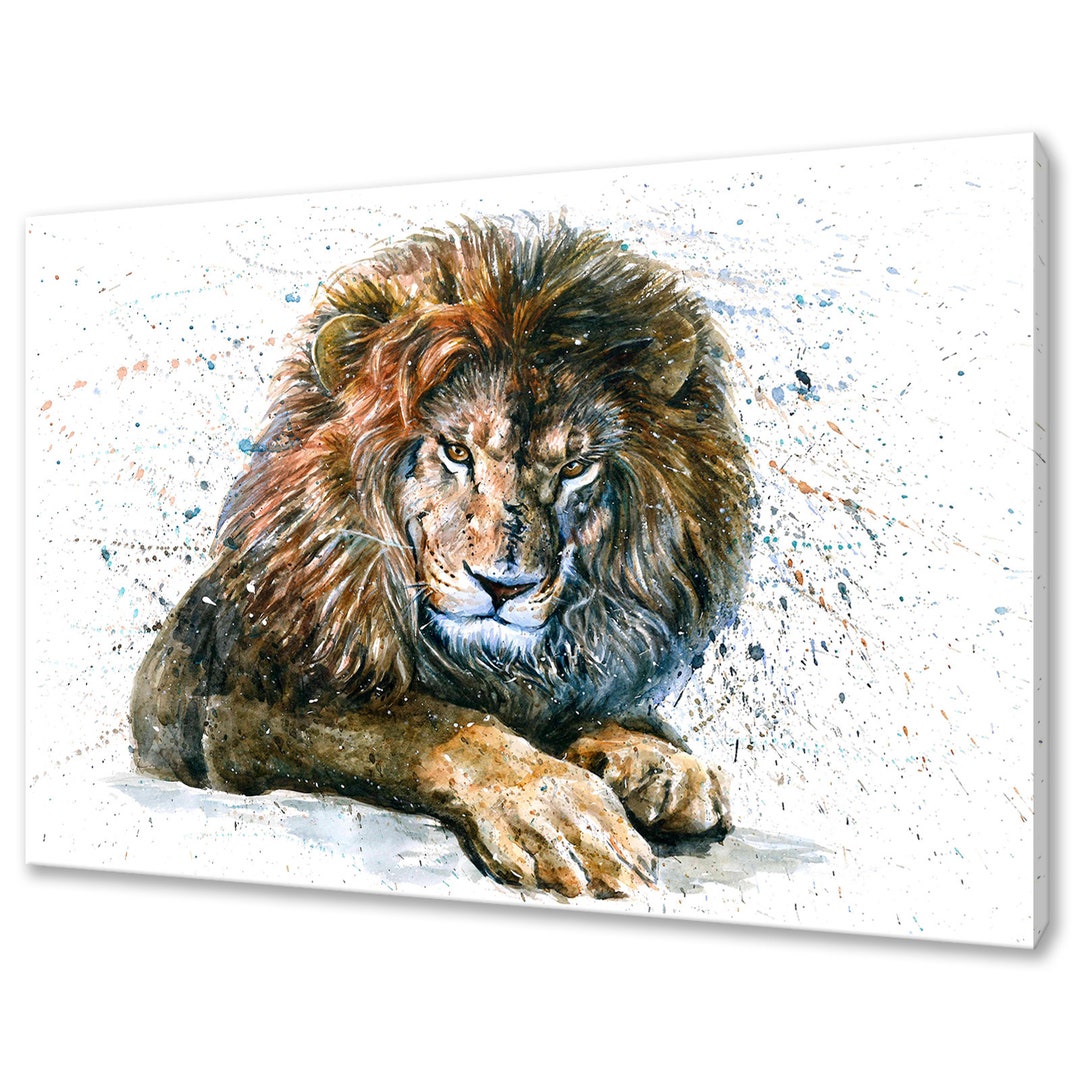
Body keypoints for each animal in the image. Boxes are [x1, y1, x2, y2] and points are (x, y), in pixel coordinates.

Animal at [131, 217, 753, 899]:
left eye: (574, 468)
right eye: (456, 451)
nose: (504, 587)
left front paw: (658, 761)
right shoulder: (223, 701)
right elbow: (433, 726)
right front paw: (560, 811)